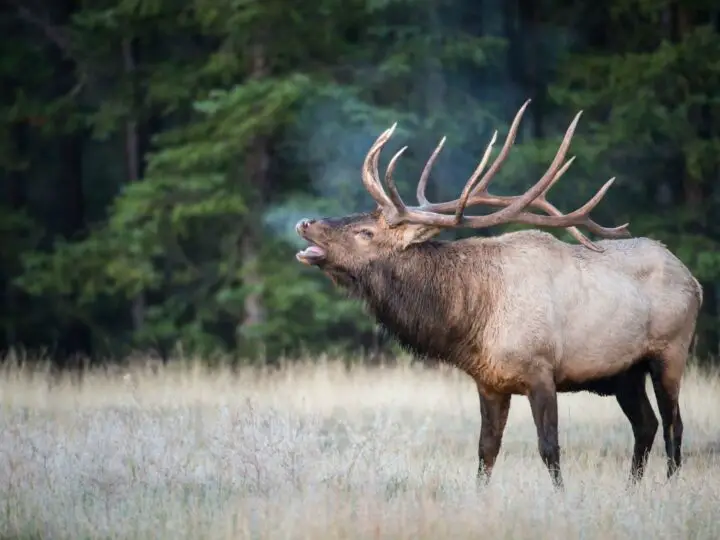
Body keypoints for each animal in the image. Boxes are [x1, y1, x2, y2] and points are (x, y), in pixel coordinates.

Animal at [294, 99, 703, 490]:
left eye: (364, 232)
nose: (305, 222)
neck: (473, 318)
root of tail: (694, 281)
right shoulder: (489, 382)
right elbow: (486, 450)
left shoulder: (541, 369)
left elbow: (549, 447)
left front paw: (561, 496)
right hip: (625, 372)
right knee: (646, 425)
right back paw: (632, 489)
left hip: (670, 352)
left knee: (674, 425)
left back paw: (668, 487)